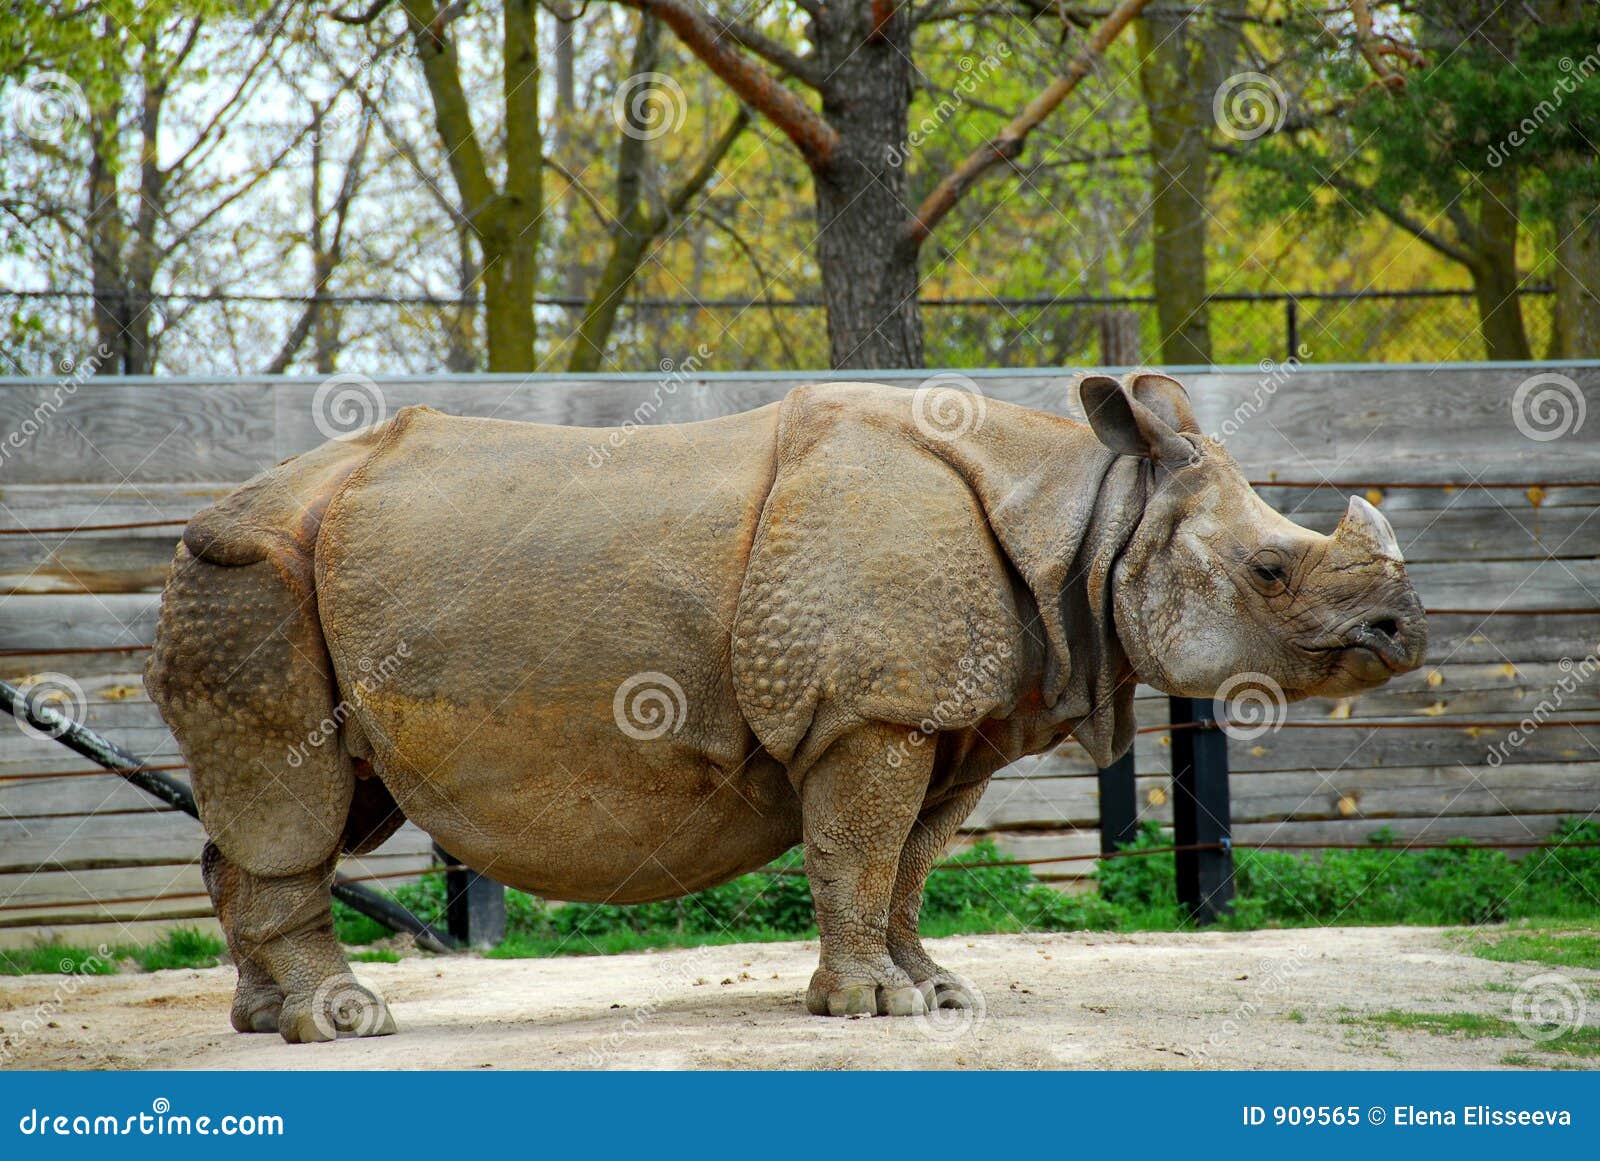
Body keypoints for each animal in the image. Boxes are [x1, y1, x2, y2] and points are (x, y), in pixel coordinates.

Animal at [146, 372, 1425, 1042]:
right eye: (1270, 569)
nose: (1404, 634)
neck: (1092, 517)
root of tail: (199, 517)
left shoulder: (950, 715)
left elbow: (908, 860)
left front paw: (933, 993)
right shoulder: (873, 710)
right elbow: (857, 847)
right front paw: (863, 1007)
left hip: (279, 577)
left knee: (313, 803)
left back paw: (260, 1021)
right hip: (247, 575)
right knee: (295, 802)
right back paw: (345, 1023)